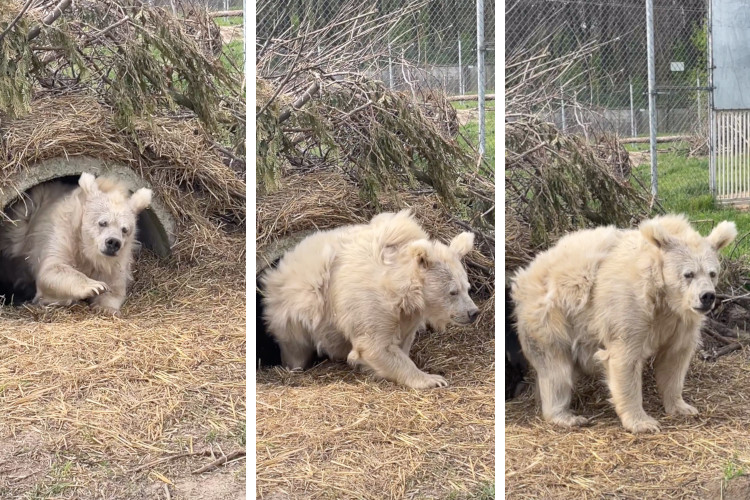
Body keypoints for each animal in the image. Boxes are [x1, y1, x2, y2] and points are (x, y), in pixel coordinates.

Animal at [0, 172, 152, 315]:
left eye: (125, 229)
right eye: (103, 222)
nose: (113, 242)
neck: (85, 249)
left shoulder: (118, 260)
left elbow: (115, 287)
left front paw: (107, 308)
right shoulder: (63, 234)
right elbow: (52, 269)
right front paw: (95, 286)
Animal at [261, 209, 479, 389]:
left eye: (467, 288)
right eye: (453, 291)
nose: (473, 313)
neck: (397, 288)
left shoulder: (408, 313)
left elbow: (403, 339)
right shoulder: (368, 302)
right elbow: (375, 346)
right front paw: (432, 379)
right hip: (294, 316)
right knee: (295, 348)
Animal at [511, 214, 737, 433]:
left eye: (712, 273)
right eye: (688, 274)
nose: (707, 296)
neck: (662, 296)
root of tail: (524, 275)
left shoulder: (679, 320)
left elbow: (675, 358)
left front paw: (683, 407)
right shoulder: (628, 307)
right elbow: (625, 359)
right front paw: (643, 422)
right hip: (551, 317)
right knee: (556, 369)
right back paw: (567, 416)